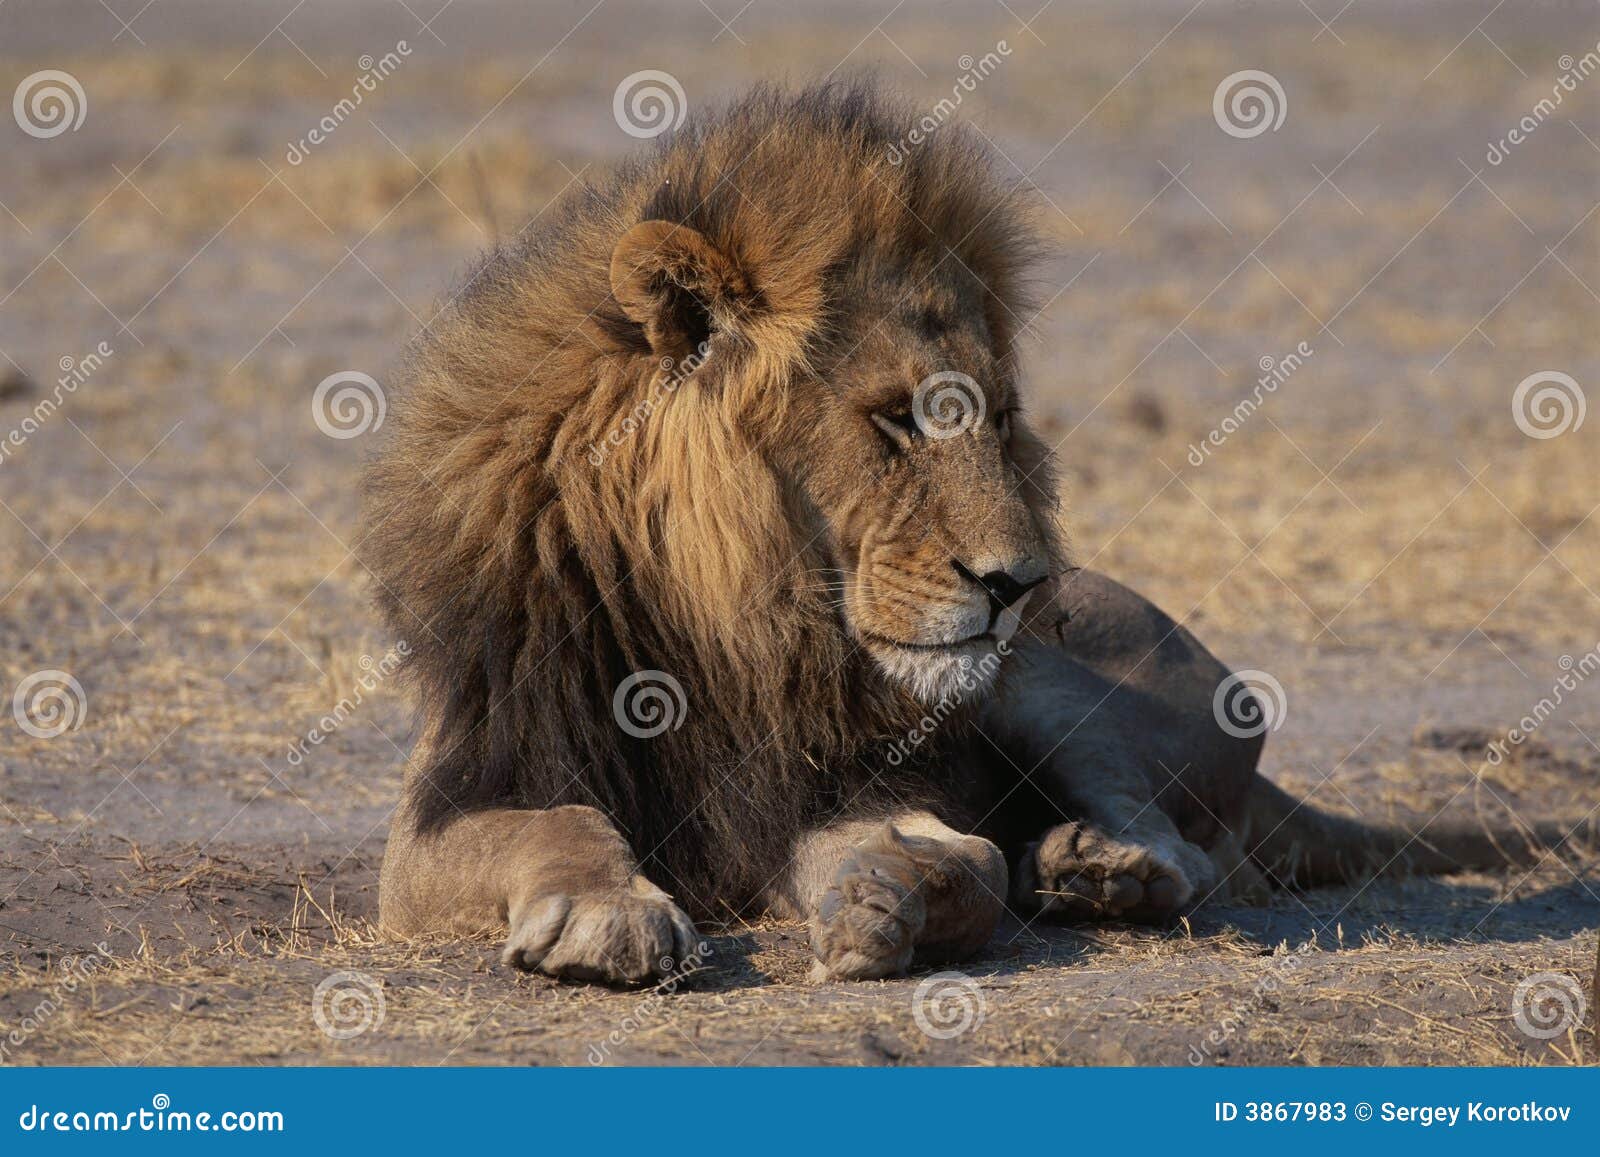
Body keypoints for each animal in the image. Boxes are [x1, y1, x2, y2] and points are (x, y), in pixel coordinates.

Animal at [362, 82, 1588, 985]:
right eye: (896, 417)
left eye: (996, 416)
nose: (1017, 582)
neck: (742, 632)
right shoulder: (446, 812)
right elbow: (559, 820)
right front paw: (605, 915)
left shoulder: (860, 775)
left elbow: (957, 854)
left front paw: (892, 891)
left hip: (1050, 676)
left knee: (1180, 842)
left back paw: (1100, 869)